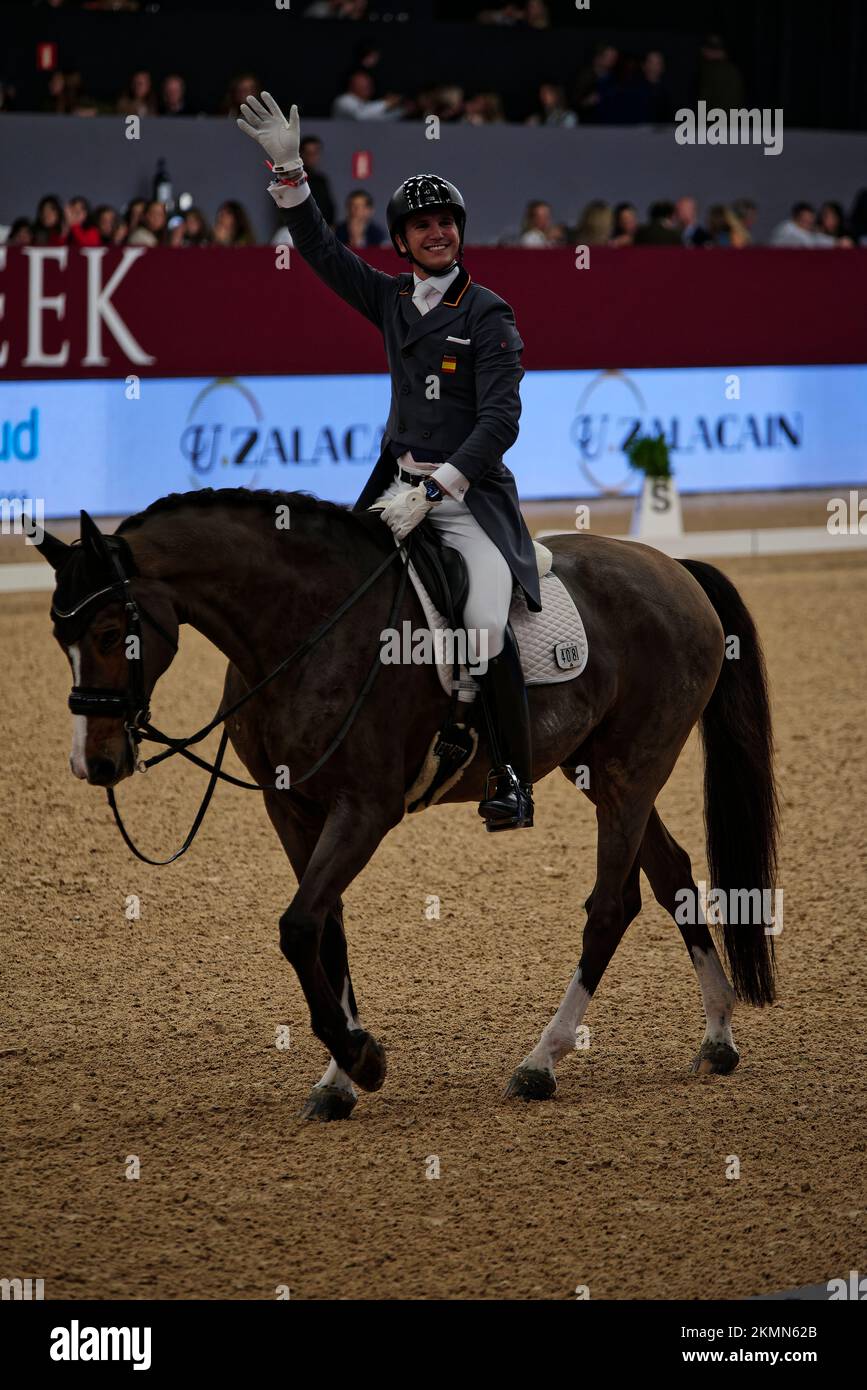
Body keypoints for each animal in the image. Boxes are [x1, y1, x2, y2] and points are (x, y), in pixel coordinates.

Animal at [36, 488, 778, 1121]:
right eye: (59, 638)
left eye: (110, 631)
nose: (94, 763)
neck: (306, 627)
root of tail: (673, 569)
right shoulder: (291, 807)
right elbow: (325, 928)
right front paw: (337, 1079)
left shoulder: (366, 808)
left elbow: (298, 926)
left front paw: (362, 1060)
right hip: (599, 768)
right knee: (670, 875)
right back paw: (717, 1039)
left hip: (633, 767)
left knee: (609, 908)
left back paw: (540, 1063)